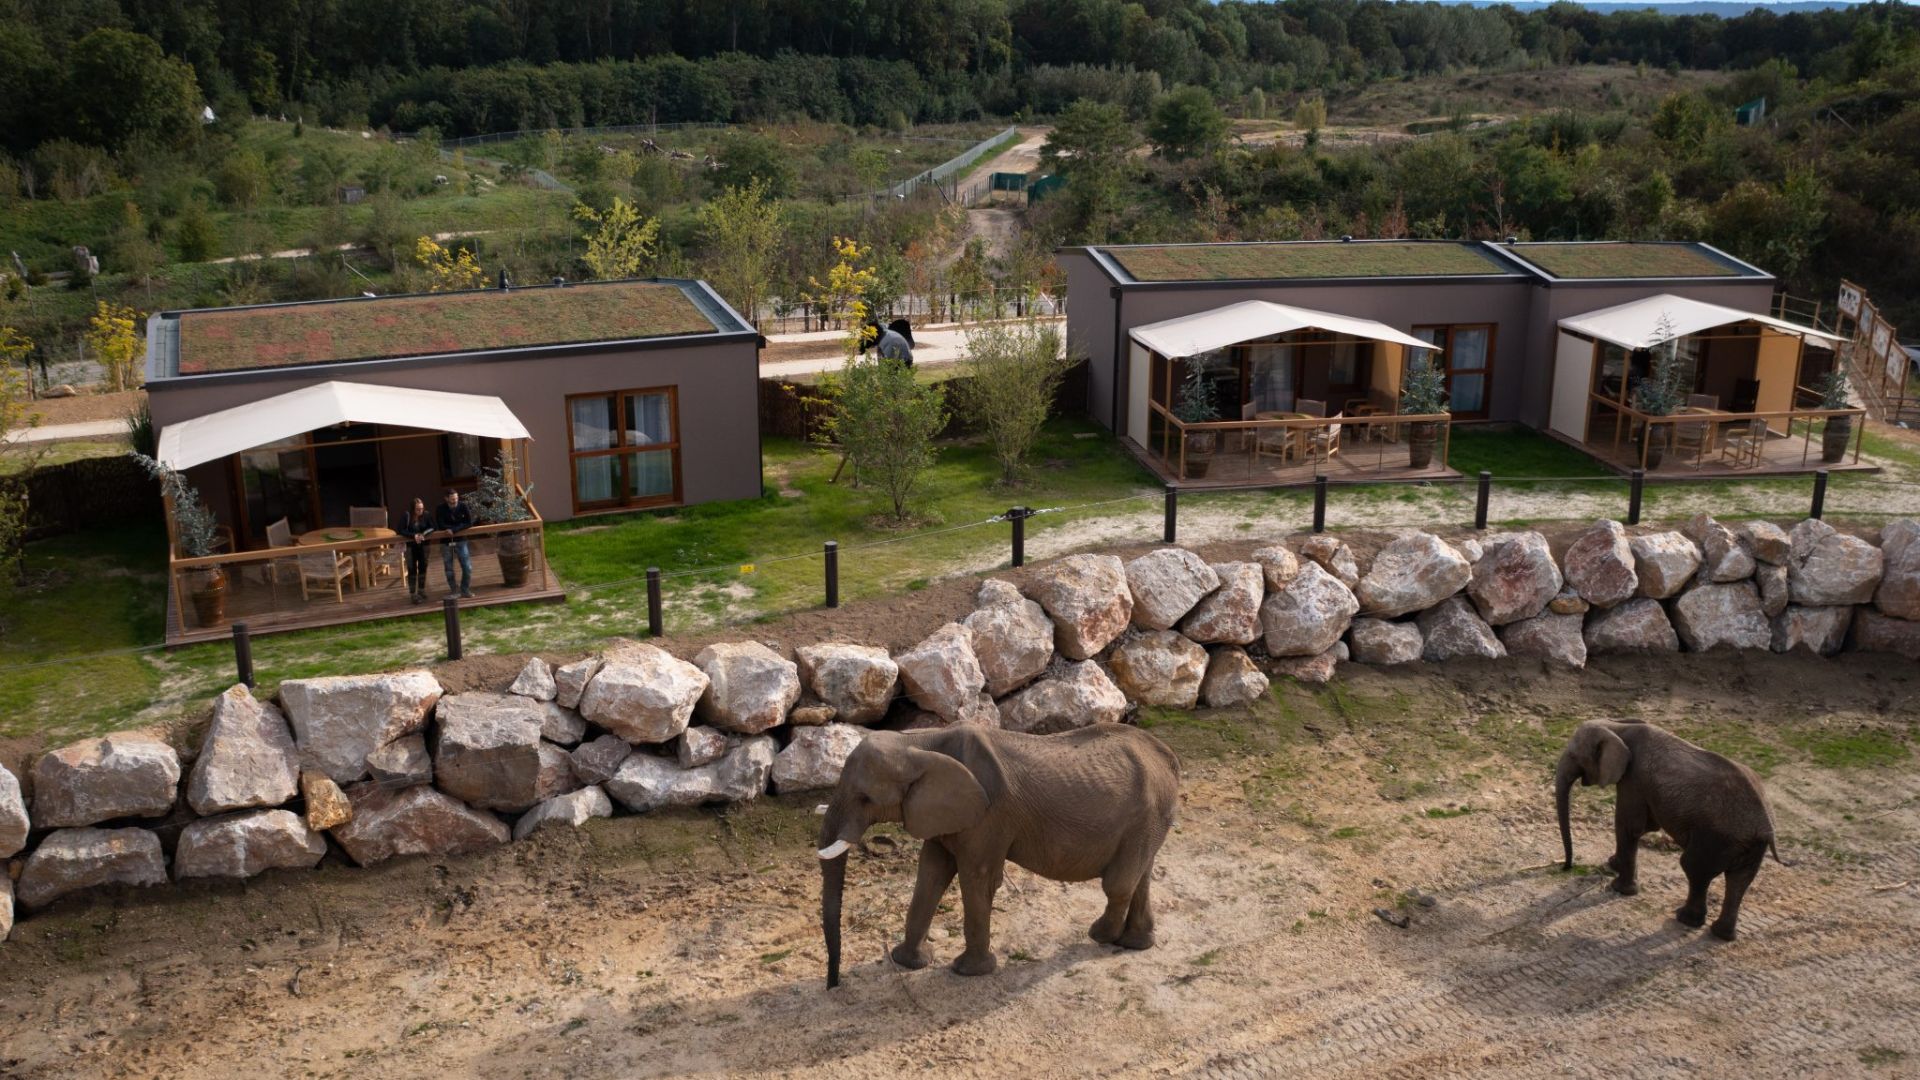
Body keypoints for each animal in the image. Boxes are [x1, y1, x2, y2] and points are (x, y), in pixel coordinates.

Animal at [816, 723, 1181, 987]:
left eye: (865, 798)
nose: (834, 984)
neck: (920, 742)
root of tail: (1167, 756)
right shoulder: (944, 813)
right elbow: (931, 873)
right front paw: (909, 962)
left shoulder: (989, 816)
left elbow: (977, 879)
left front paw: (969, 972)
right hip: (1148, 820)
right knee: (1141, 875)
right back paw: (1135, 943)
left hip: (1145, 816)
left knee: (1119, 883)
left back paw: (1101, 936)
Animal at [1556, 718, 1783, 941]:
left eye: (1574, 756)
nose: (1565, 867)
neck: (1617, 726)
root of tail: (1766, 826)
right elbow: (1643, 827)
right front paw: (1614, 864)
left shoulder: (1634, 779)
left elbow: (1629, 826)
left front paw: (1620, 889)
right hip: (1749, 845)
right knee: (1739, 880)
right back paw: (1722, 935)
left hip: (1717, 838)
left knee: (1695, 868)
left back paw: (1685, 919)